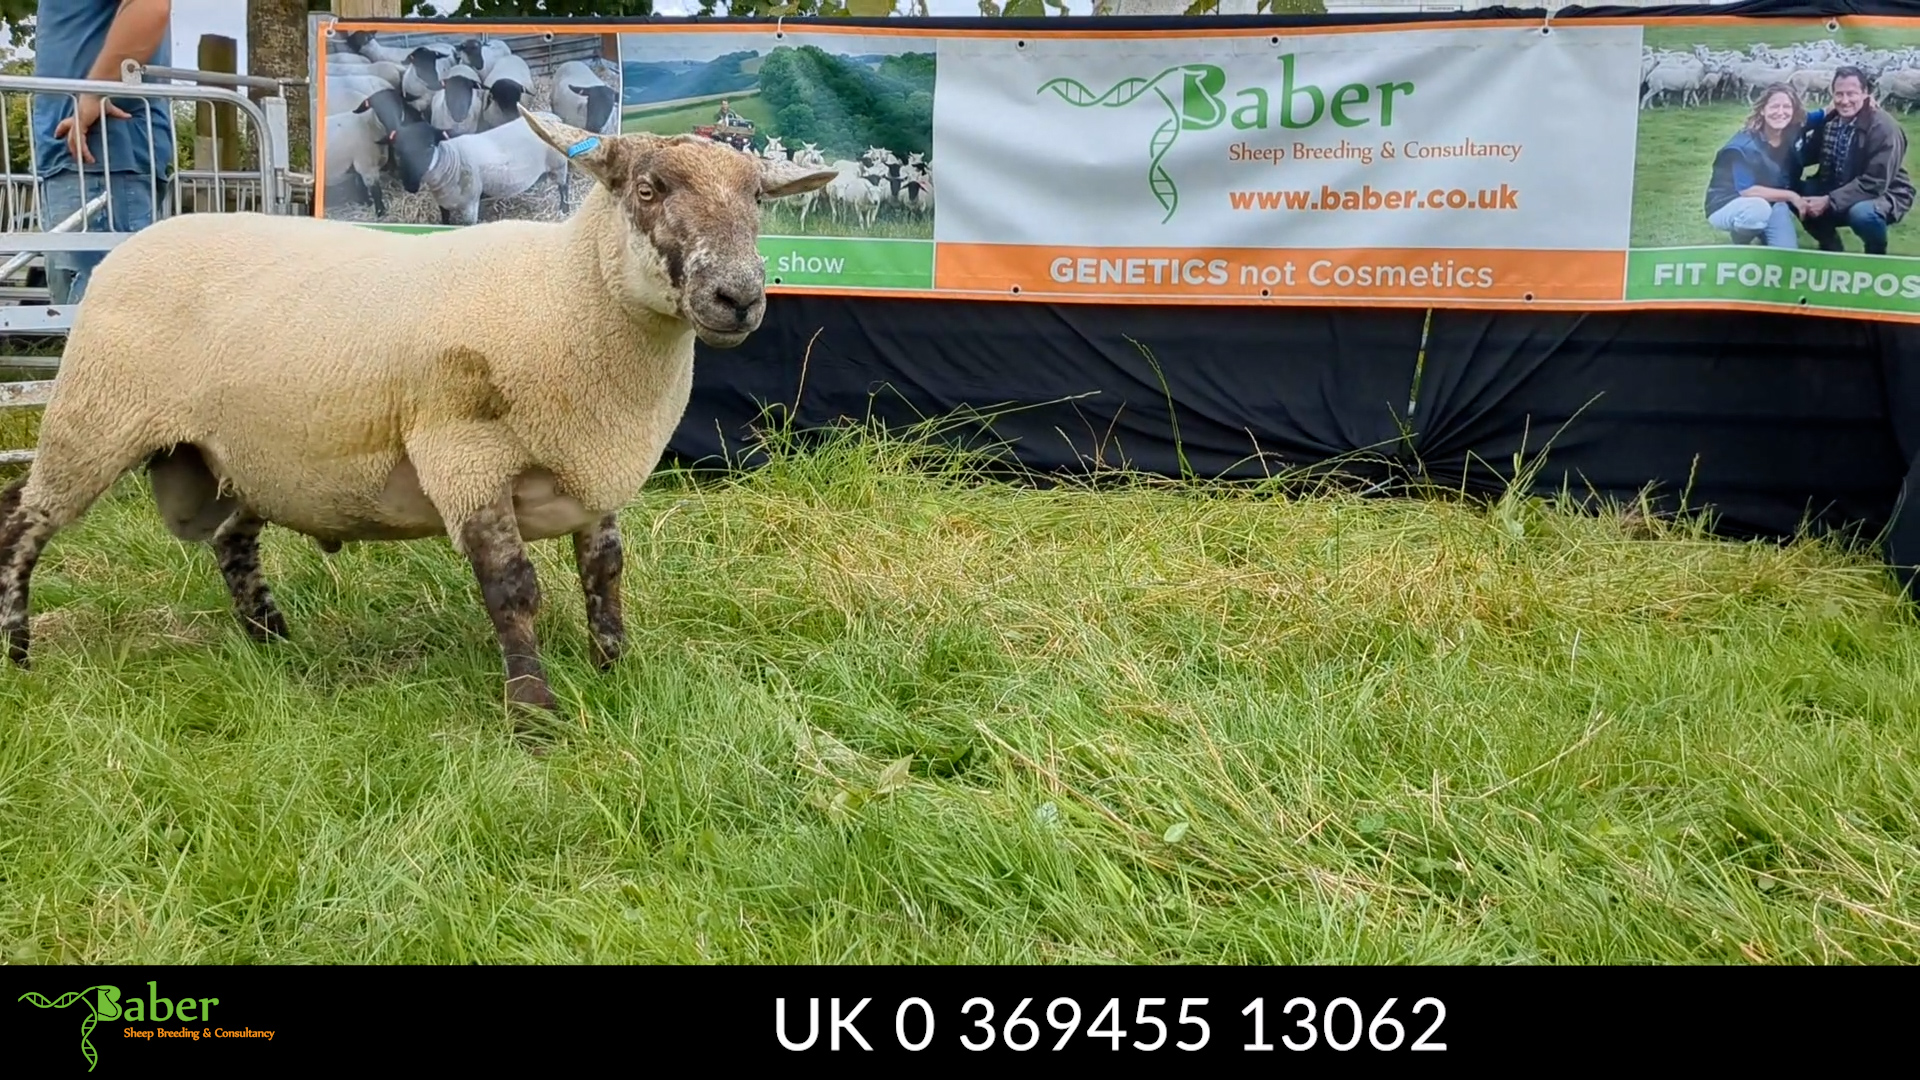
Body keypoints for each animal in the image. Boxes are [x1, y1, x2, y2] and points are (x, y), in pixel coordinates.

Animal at [390, 113, 572, 226]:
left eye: (429, 146)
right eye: (398, 151)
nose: (410, 185)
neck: (451, 159)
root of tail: (554, 117)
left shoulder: (470, 206)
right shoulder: (443, 203)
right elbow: (445, 221)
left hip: (559, 163)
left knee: (563, 186)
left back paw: (565, 210)